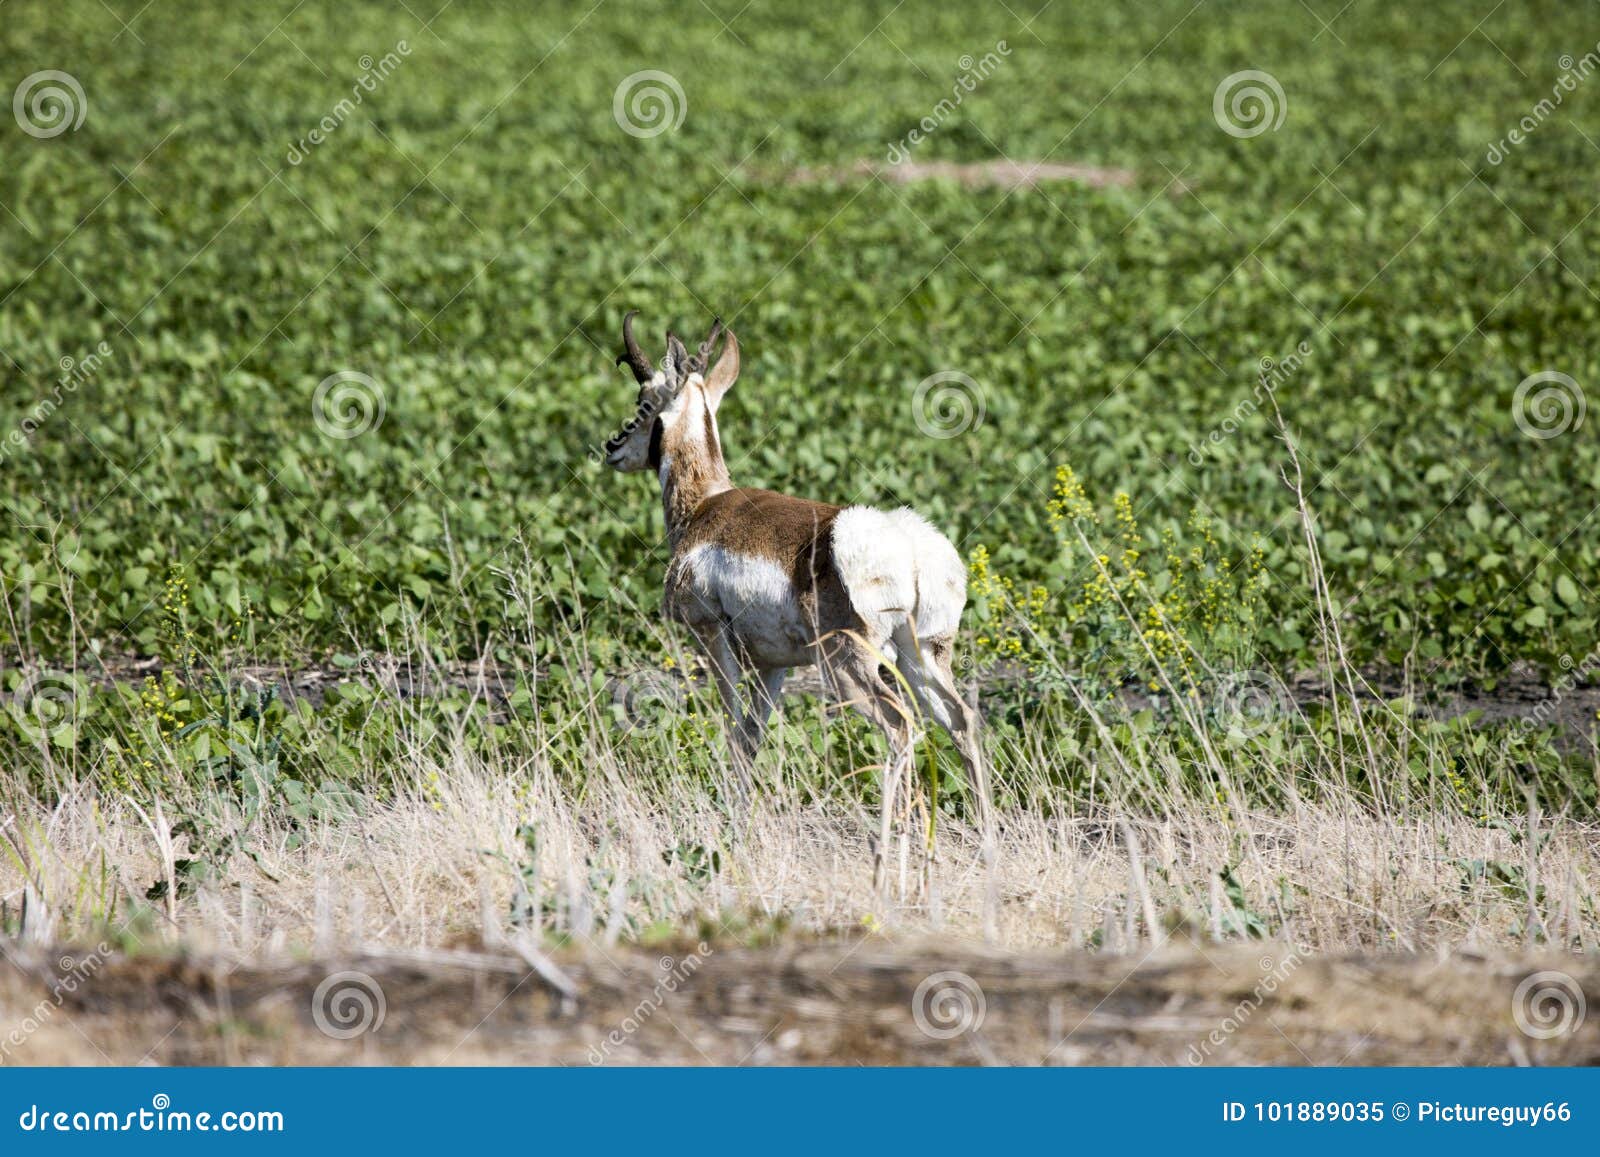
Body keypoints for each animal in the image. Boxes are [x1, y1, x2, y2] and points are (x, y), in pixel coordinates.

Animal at [601, 312, 994, 895]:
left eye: (645, 402)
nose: (612, 447)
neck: (706, 506)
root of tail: (907, 548)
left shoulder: (713, 644)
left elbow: (731, 733)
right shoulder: (774, 665)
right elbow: (750, 740)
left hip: (851, 667)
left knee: (899, 725)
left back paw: (885, 868)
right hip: (921, 656)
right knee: (962, 720)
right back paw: (984, 854)